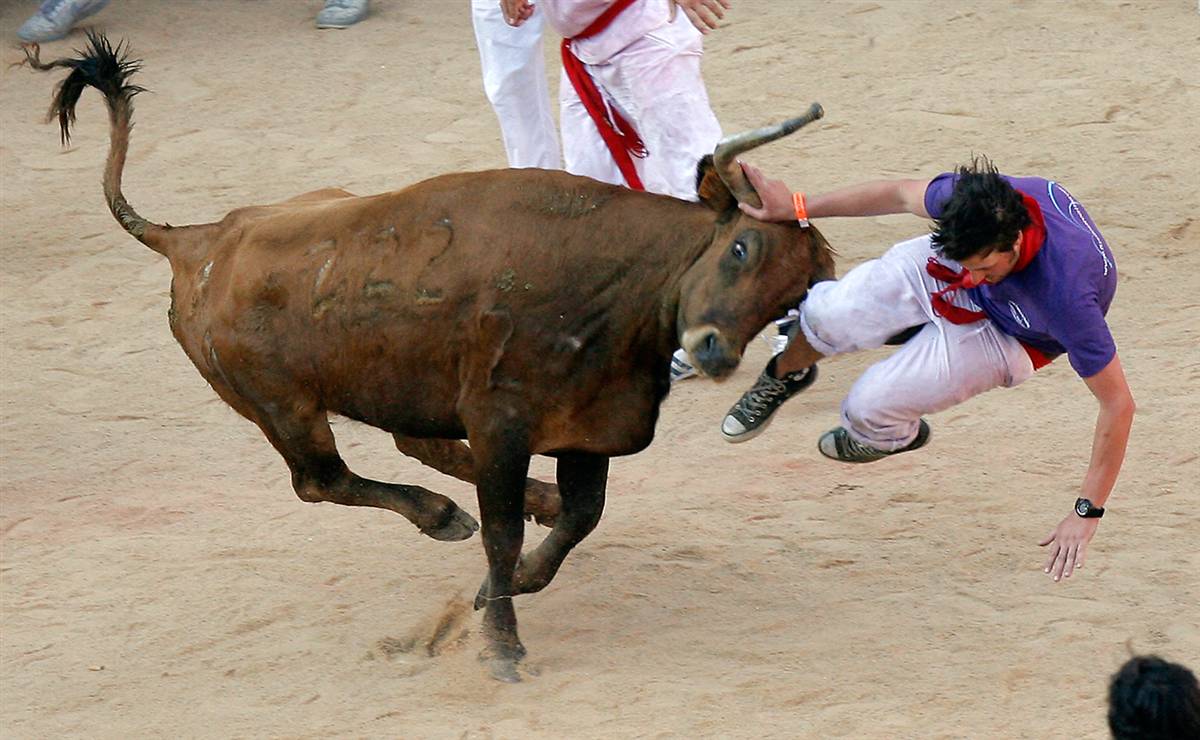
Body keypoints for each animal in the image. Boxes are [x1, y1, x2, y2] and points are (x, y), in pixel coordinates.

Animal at [24, 33, 835, 682]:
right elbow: (507, 534)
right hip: (281, 406)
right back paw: (442, 515)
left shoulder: (586, 426)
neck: (615, 279)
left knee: (413, 446)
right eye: (739, 247)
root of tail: (195, 240)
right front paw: (501, 645)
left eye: (792, 296)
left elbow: (579, 518)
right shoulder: (503, 422)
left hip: (388, 384)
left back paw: (498, 504)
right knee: (323, 480)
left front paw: (508, 583)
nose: (712, 351)